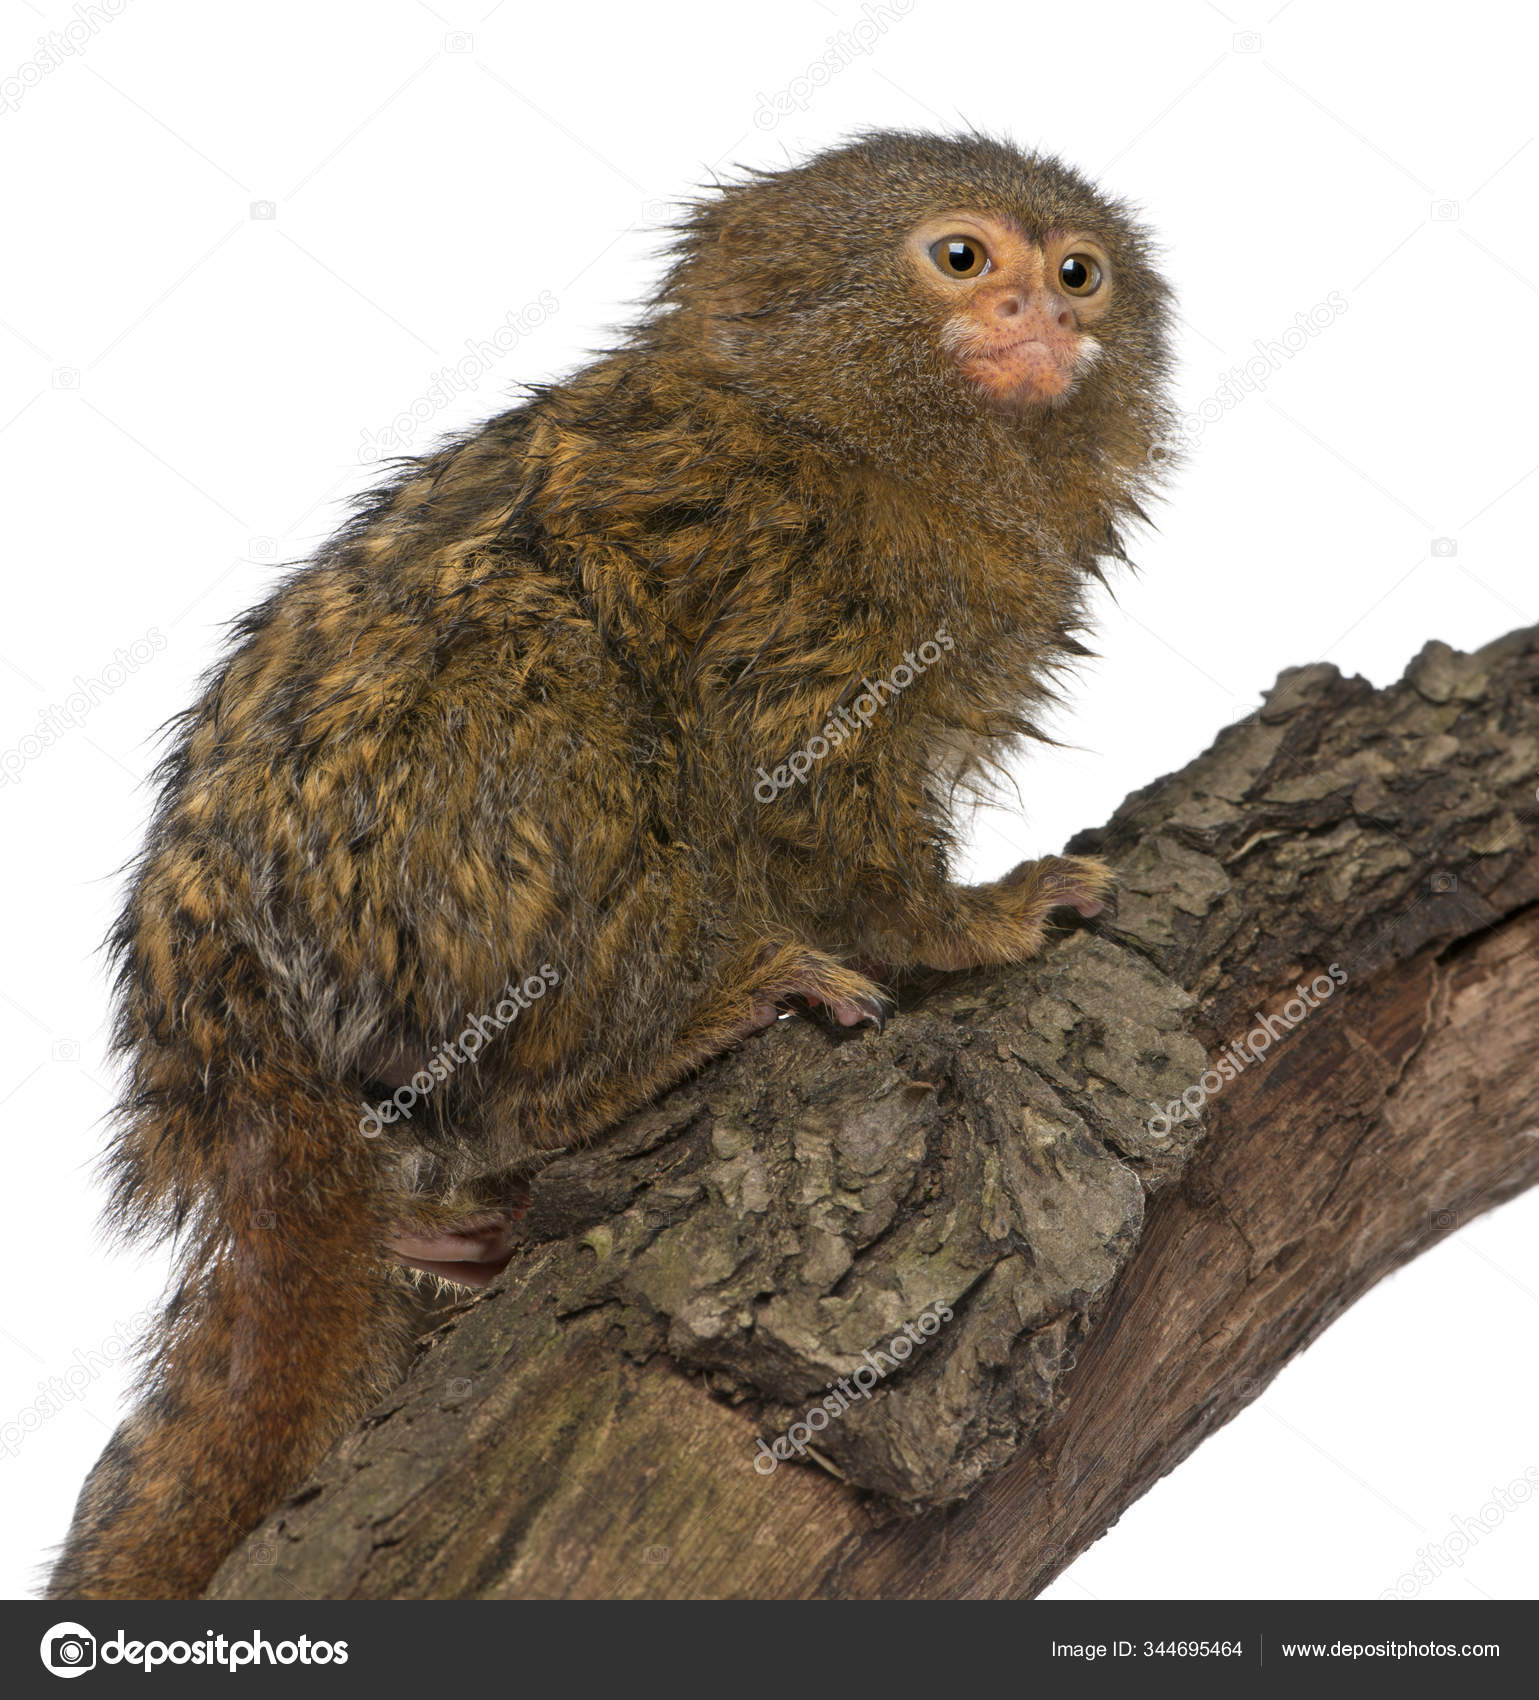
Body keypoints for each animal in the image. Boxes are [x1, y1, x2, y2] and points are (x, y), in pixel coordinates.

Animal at [47, 130, 1175, 1599]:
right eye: (961, 257)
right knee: (566, 690)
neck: (853, 434)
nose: (1042, 315)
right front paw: (974, 925)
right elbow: (808, 786)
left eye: (1080, 271)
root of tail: (205, 990)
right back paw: (641, 1053)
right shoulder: (799, 592)